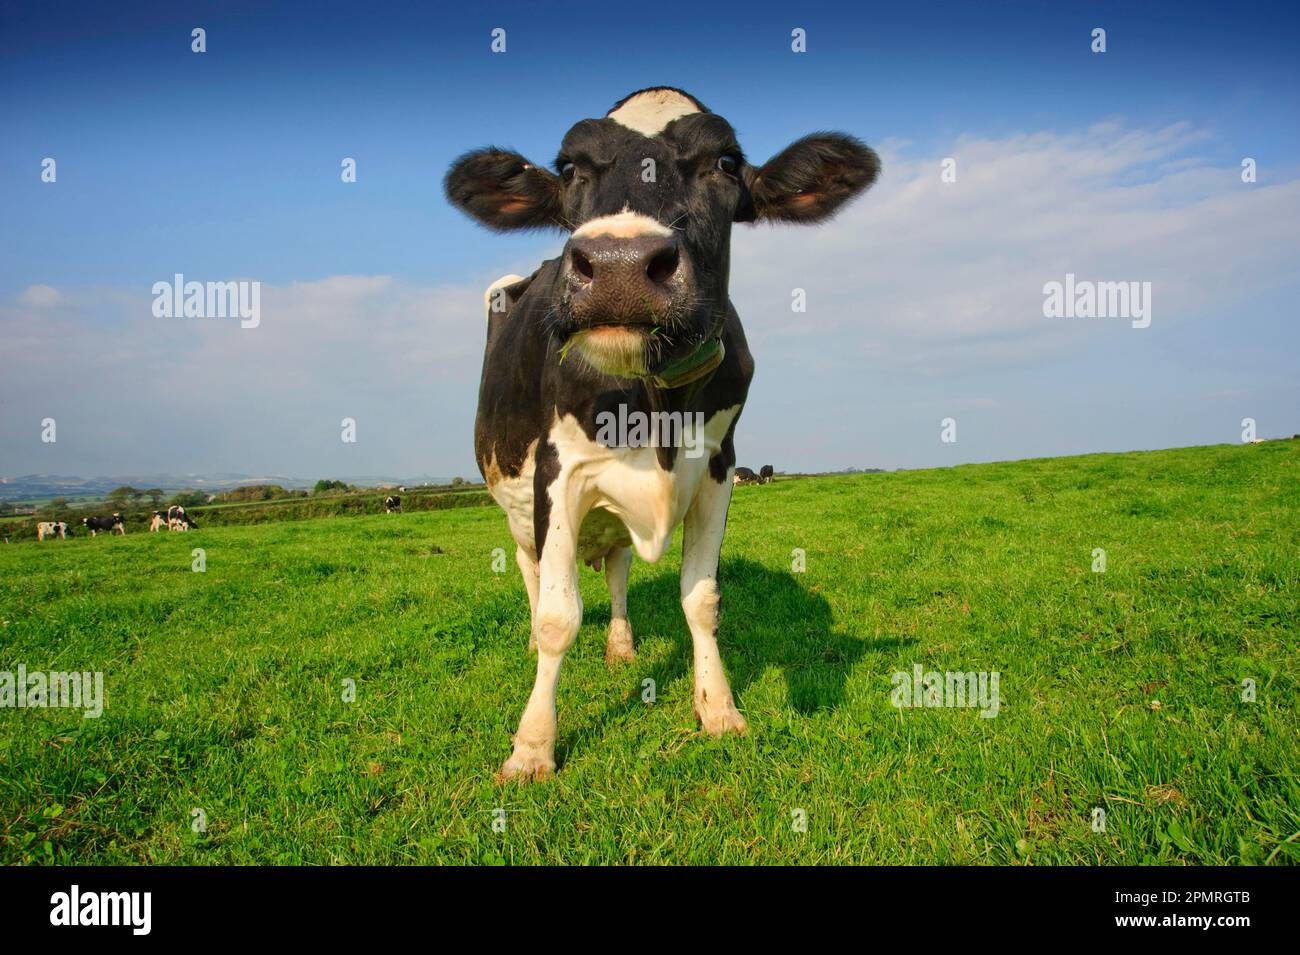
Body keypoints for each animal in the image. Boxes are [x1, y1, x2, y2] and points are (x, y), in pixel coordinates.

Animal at [445, 86, 878, 780]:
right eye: (569, 167)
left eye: (726, 163)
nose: (619, 266)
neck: (653, 404)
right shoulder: (558, 473)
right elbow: (558, 617)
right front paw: (532, 746)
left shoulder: (720, 465)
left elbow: (701, 598)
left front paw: (718, 708)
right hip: (518, 504)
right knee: (533, 572)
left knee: (619, 565)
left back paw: (621, 645)